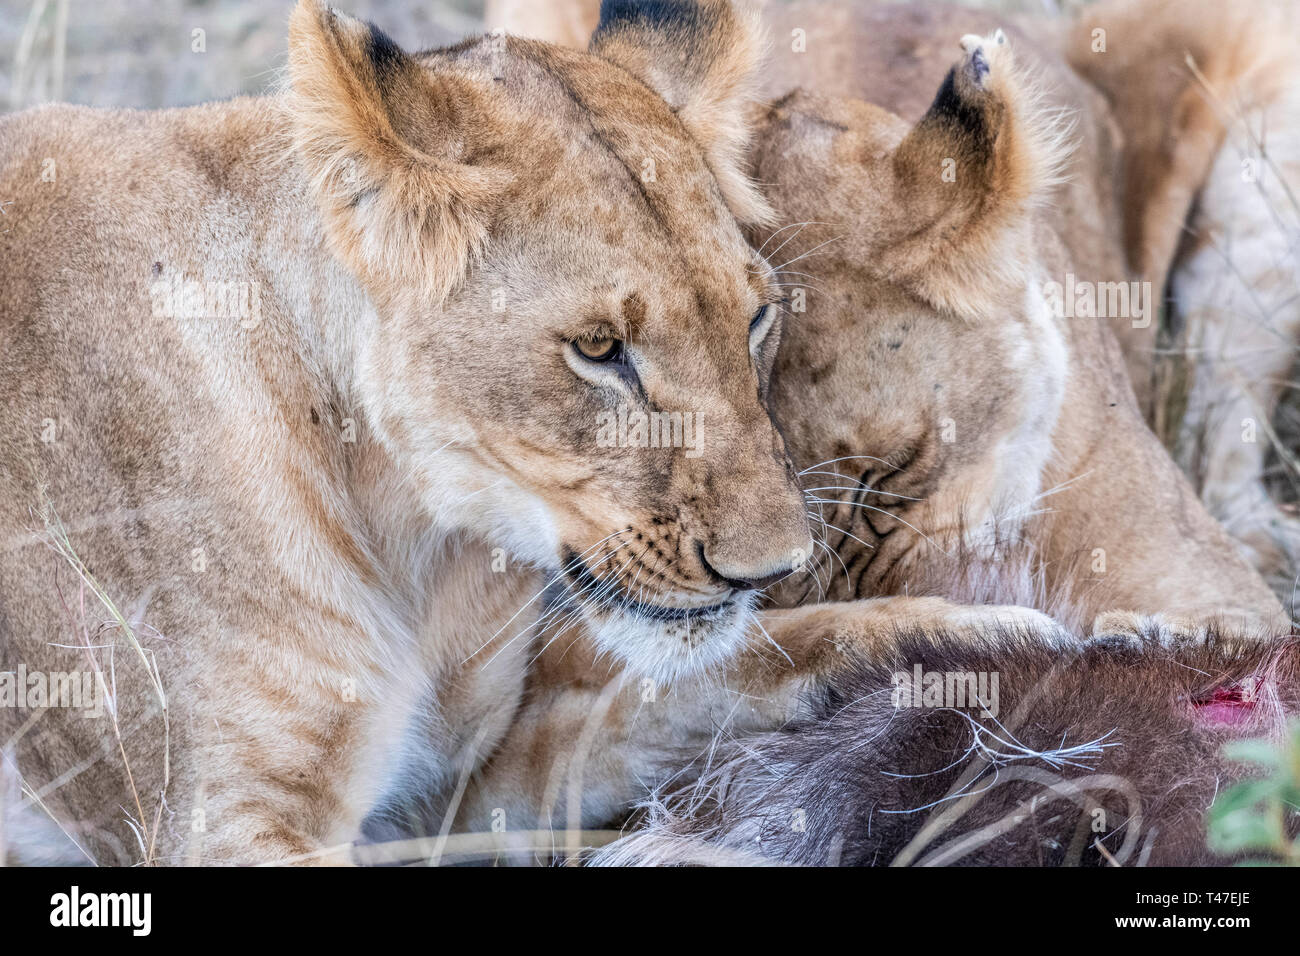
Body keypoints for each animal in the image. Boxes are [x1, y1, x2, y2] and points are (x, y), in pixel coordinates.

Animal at [0, 0, 1059, 865]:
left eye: (757, 316)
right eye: (598, 348)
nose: (767, 568)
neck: (416, 544)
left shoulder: (454, 786)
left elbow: (717, 670)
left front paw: (972, 649)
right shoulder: (220, 826)